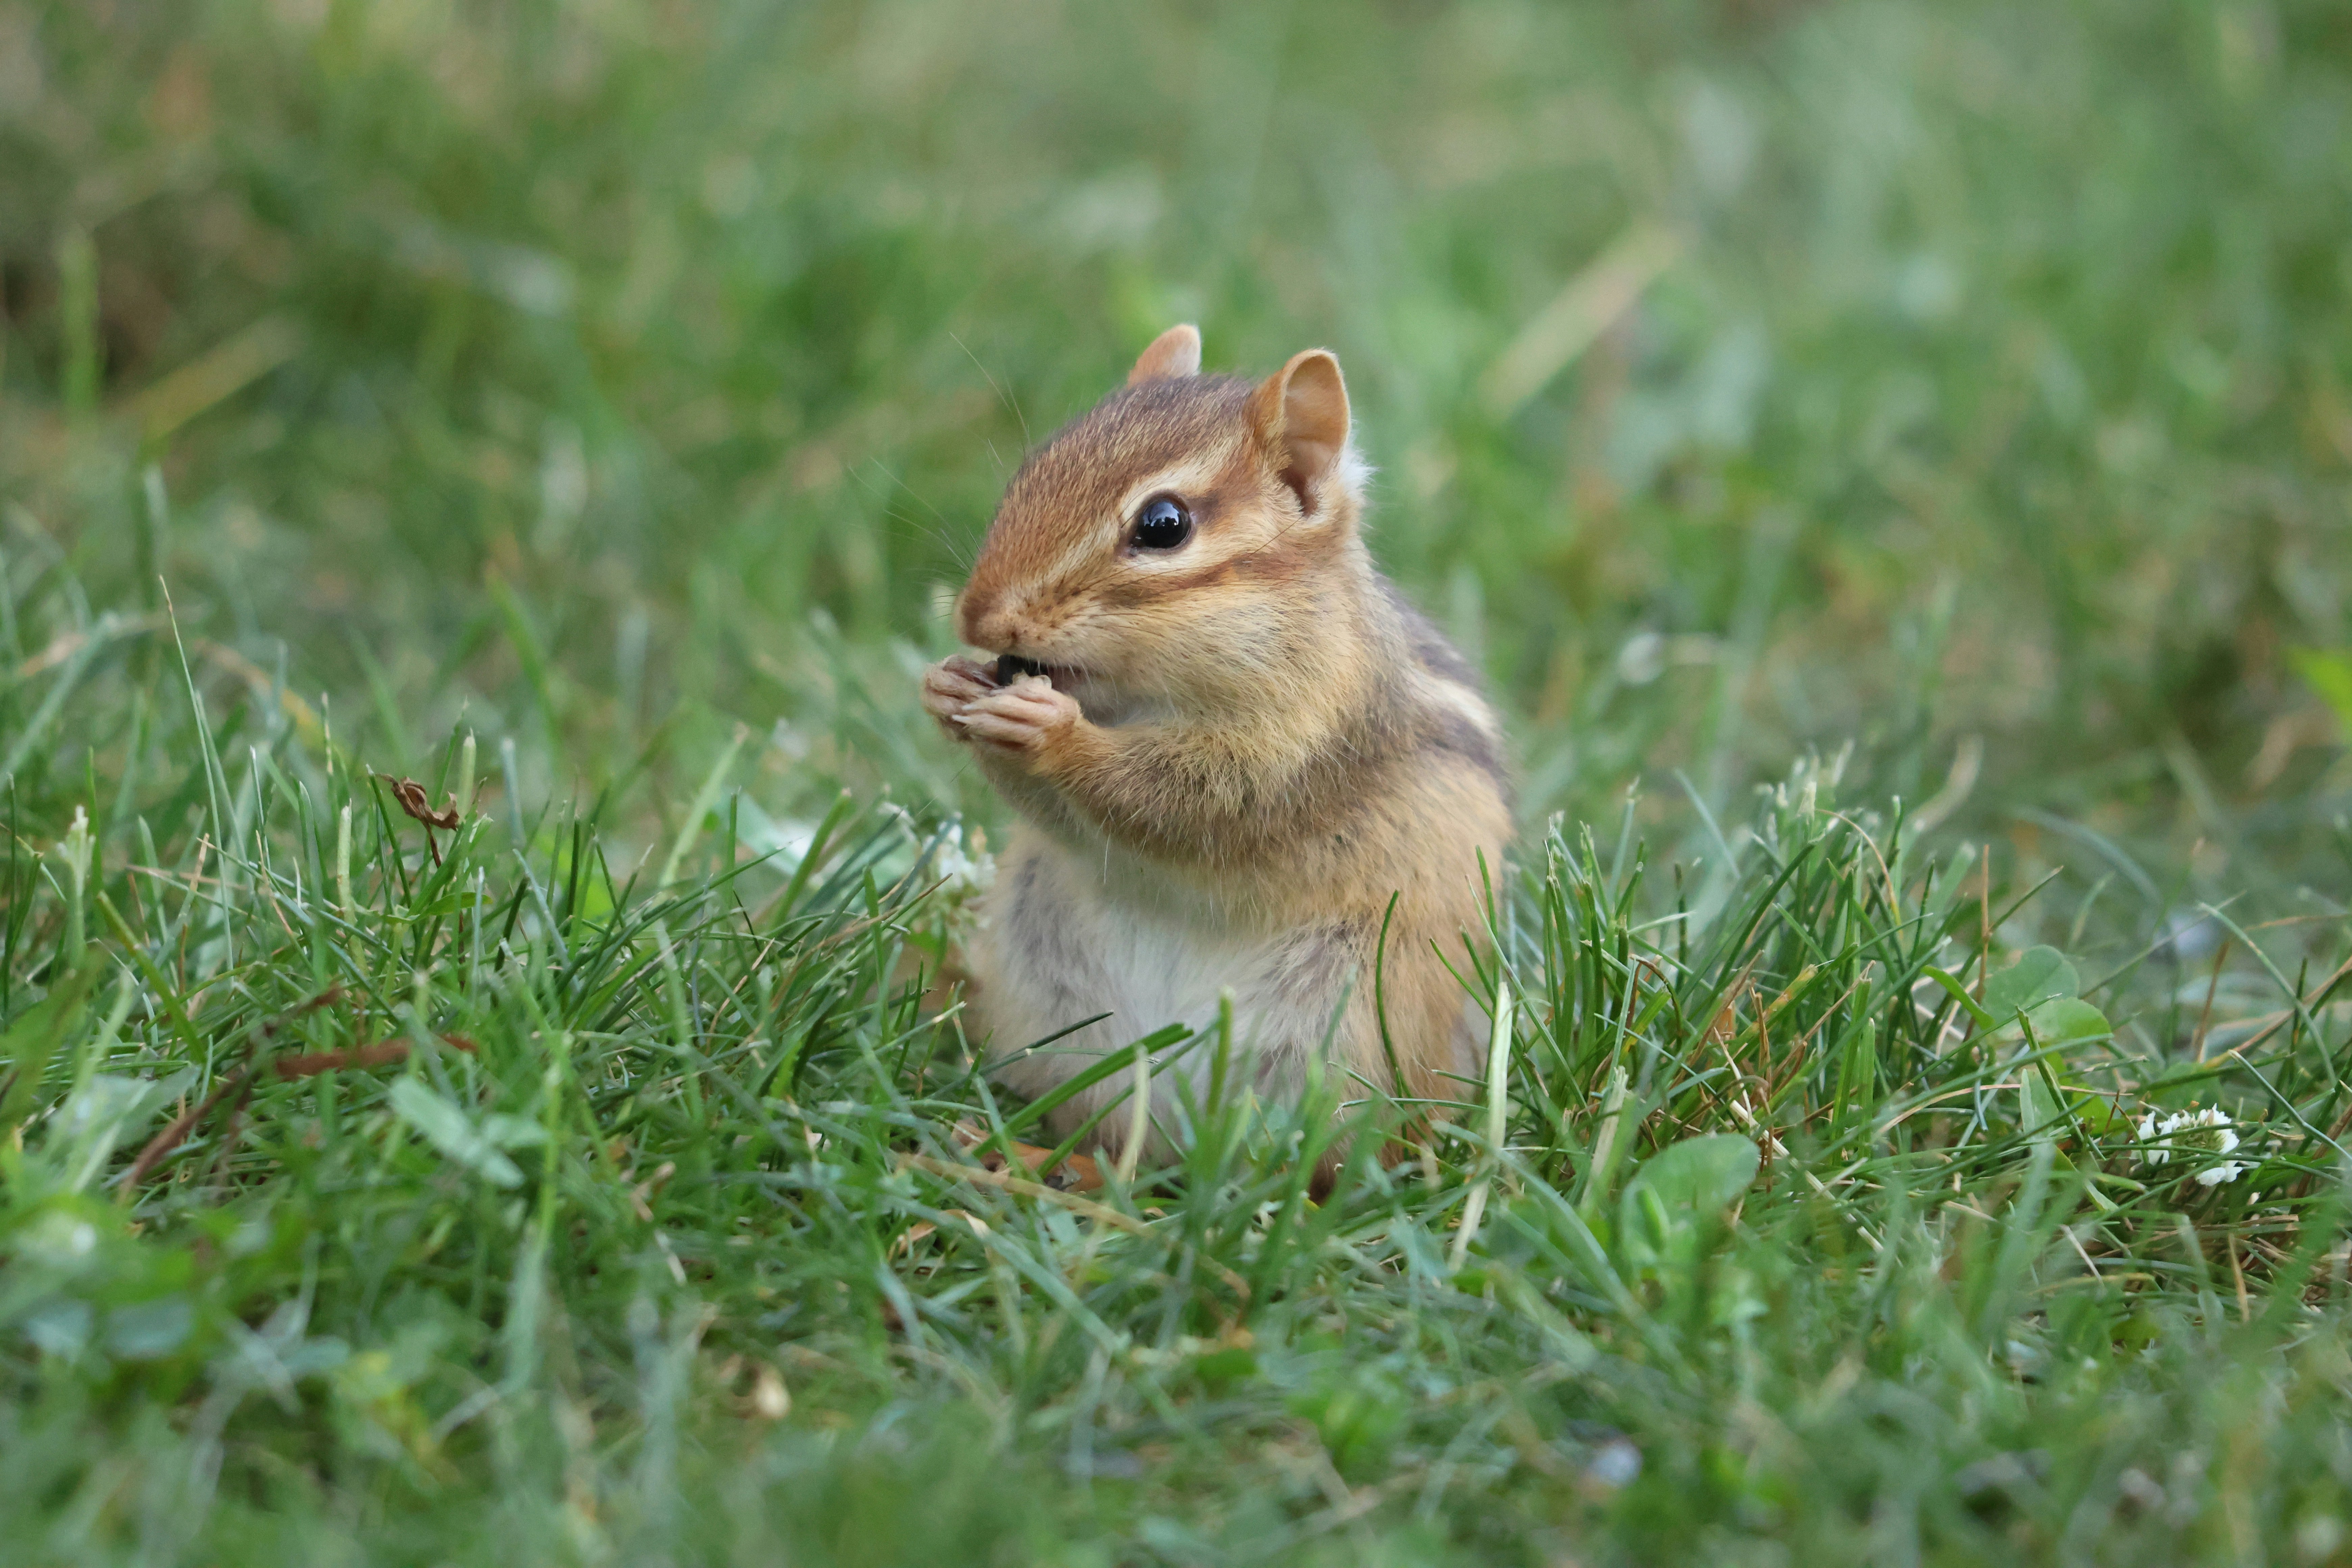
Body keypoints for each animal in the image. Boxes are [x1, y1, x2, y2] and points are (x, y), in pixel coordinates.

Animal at [921, 324, 1511, 1176]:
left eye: (1163, 524)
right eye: (1029, 473)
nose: (976, 617)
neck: (1140, 700)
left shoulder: (1295, 751)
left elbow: (1185, 803)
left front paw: (1053, 730)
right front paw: (946, 685)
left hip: (1336, 1036)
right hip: (1061, 1017)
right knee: (1114, 1137)